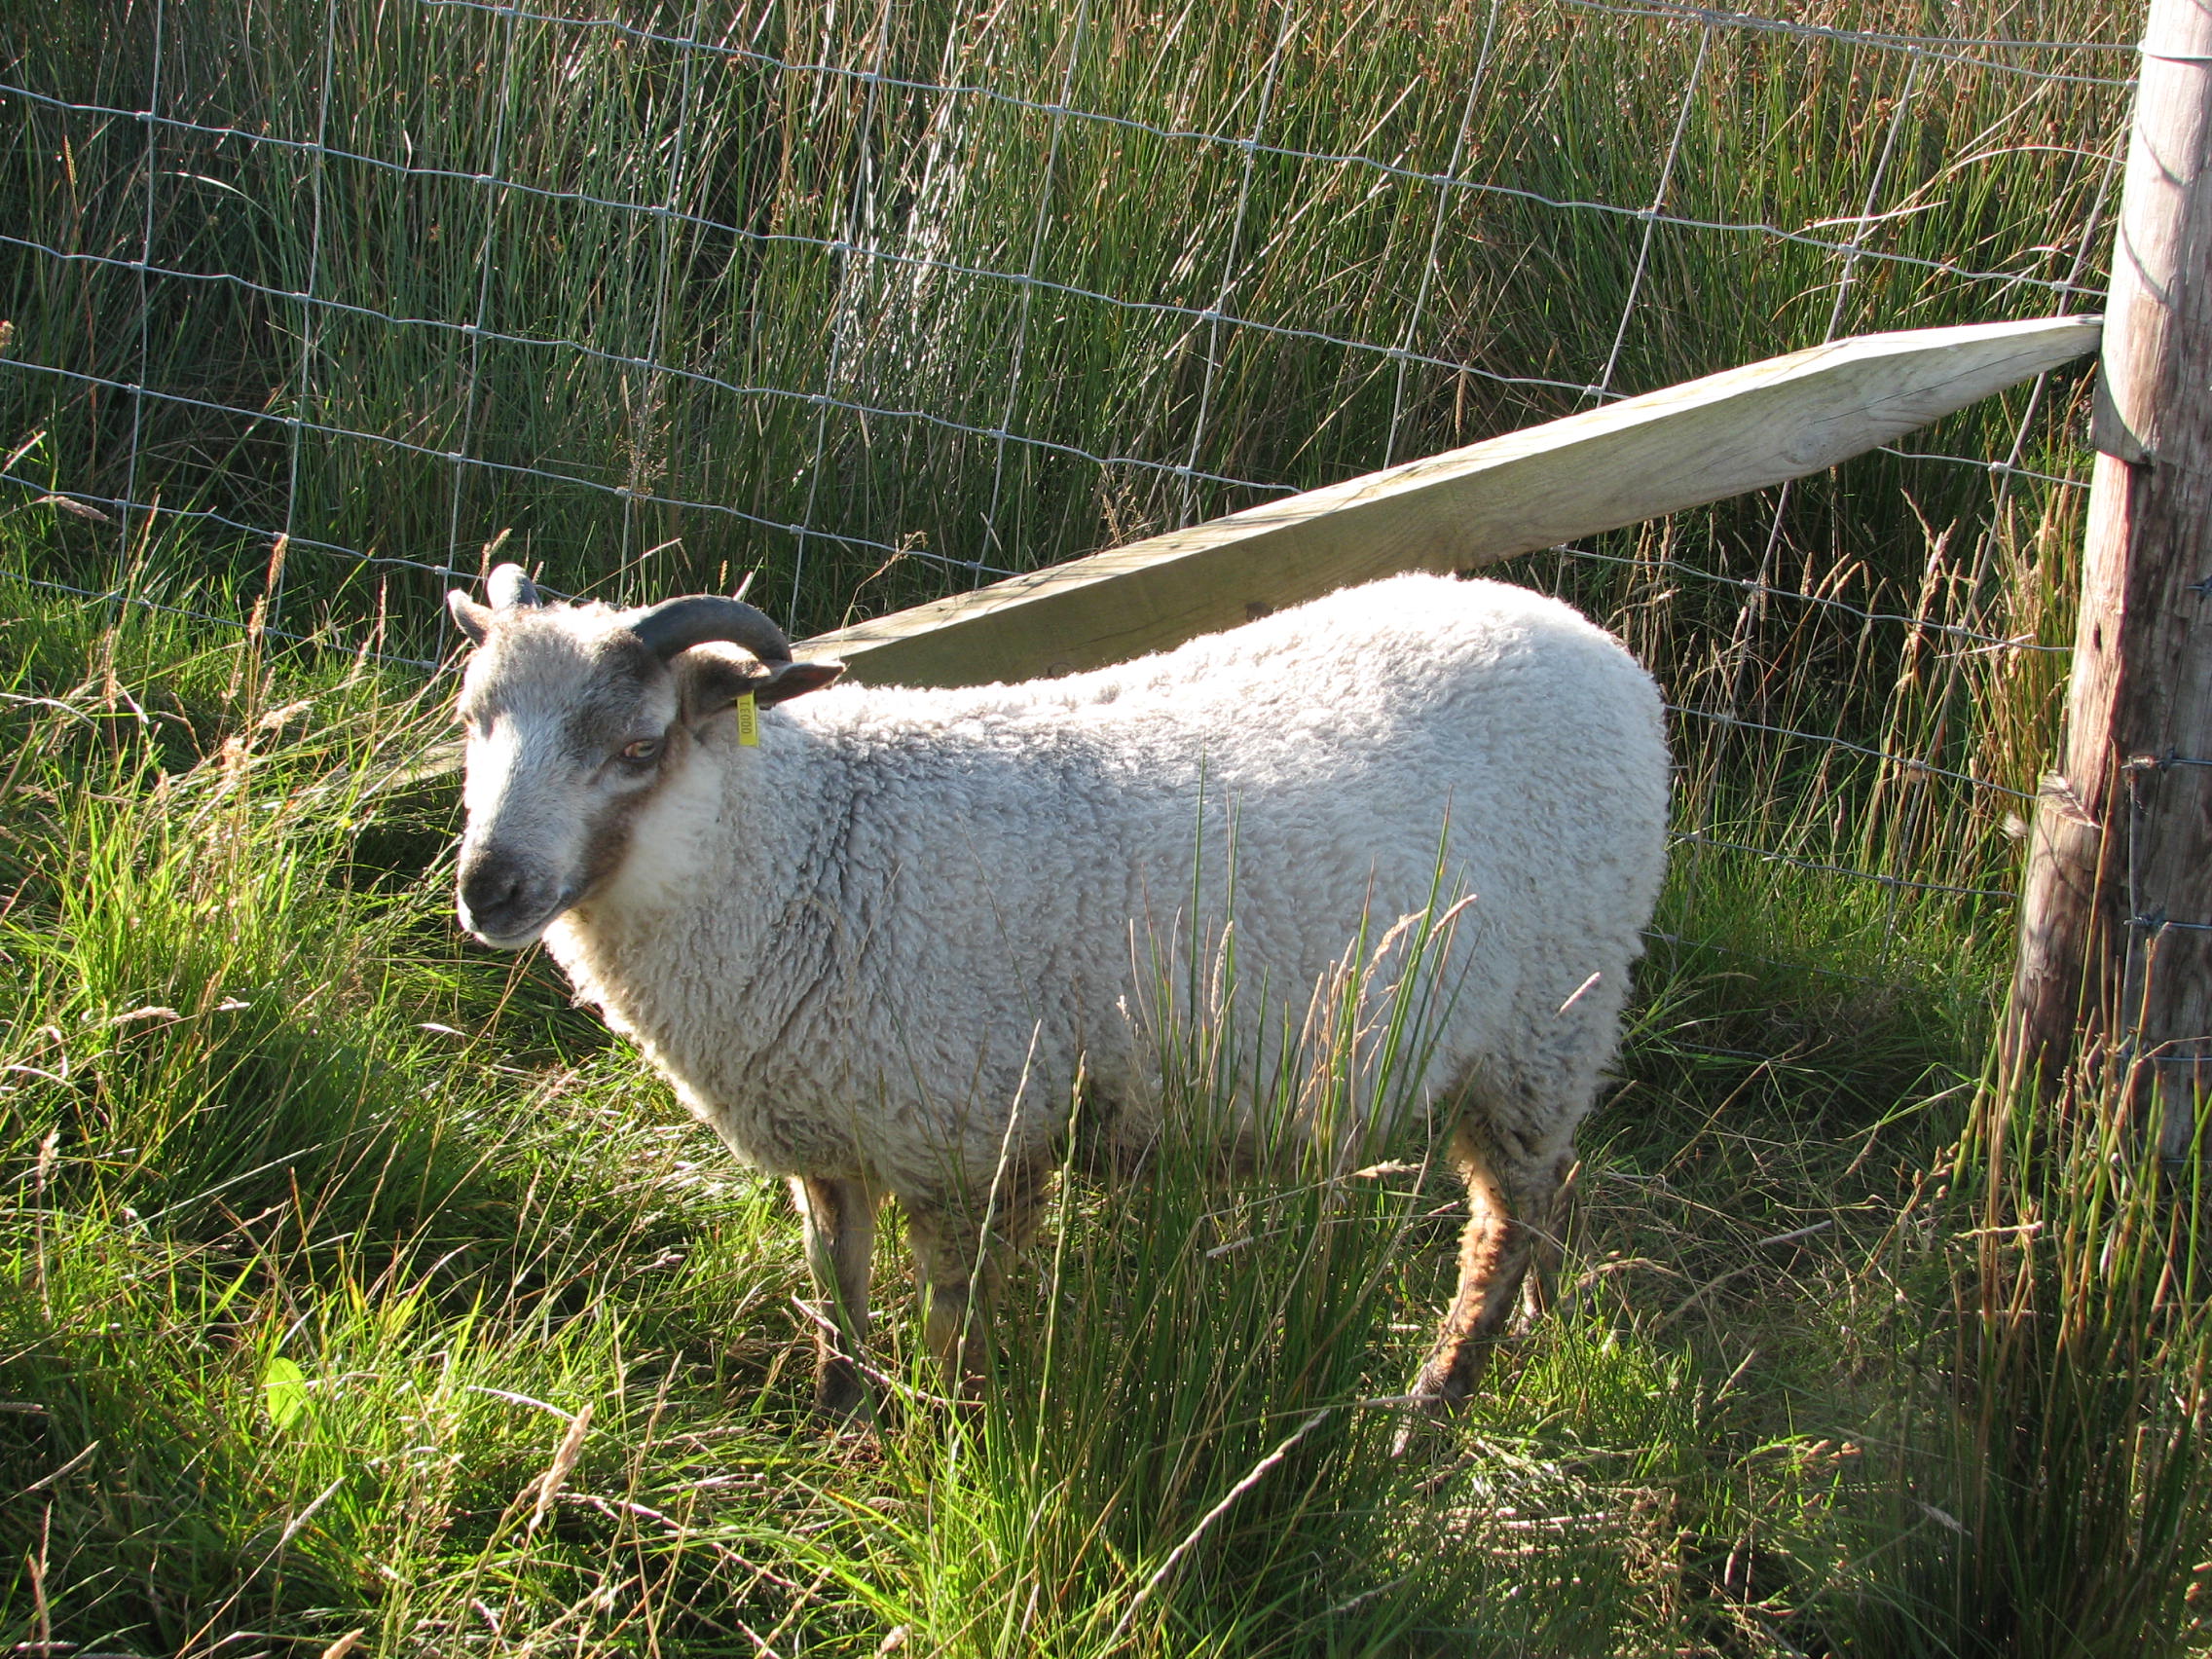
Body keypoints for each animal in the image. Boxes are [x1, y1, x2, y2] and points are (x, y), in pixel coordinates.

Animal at [443, 561, 1669, 1426]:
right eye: (472, 721)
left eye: (638, 747)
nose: (488, 887)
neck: (799, 848)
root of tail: (1595, 646)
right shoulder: (828, 1141)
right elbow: (838, 1303)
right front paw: (839, 1428)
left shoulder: (968, 1138)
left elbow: (953, 1336)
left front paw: (948, 1452)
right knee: (1543, 1200)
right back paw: (1536, 1333)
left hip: (1545, 1019)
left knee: (1501, 1224)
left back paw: (1434, 1403)